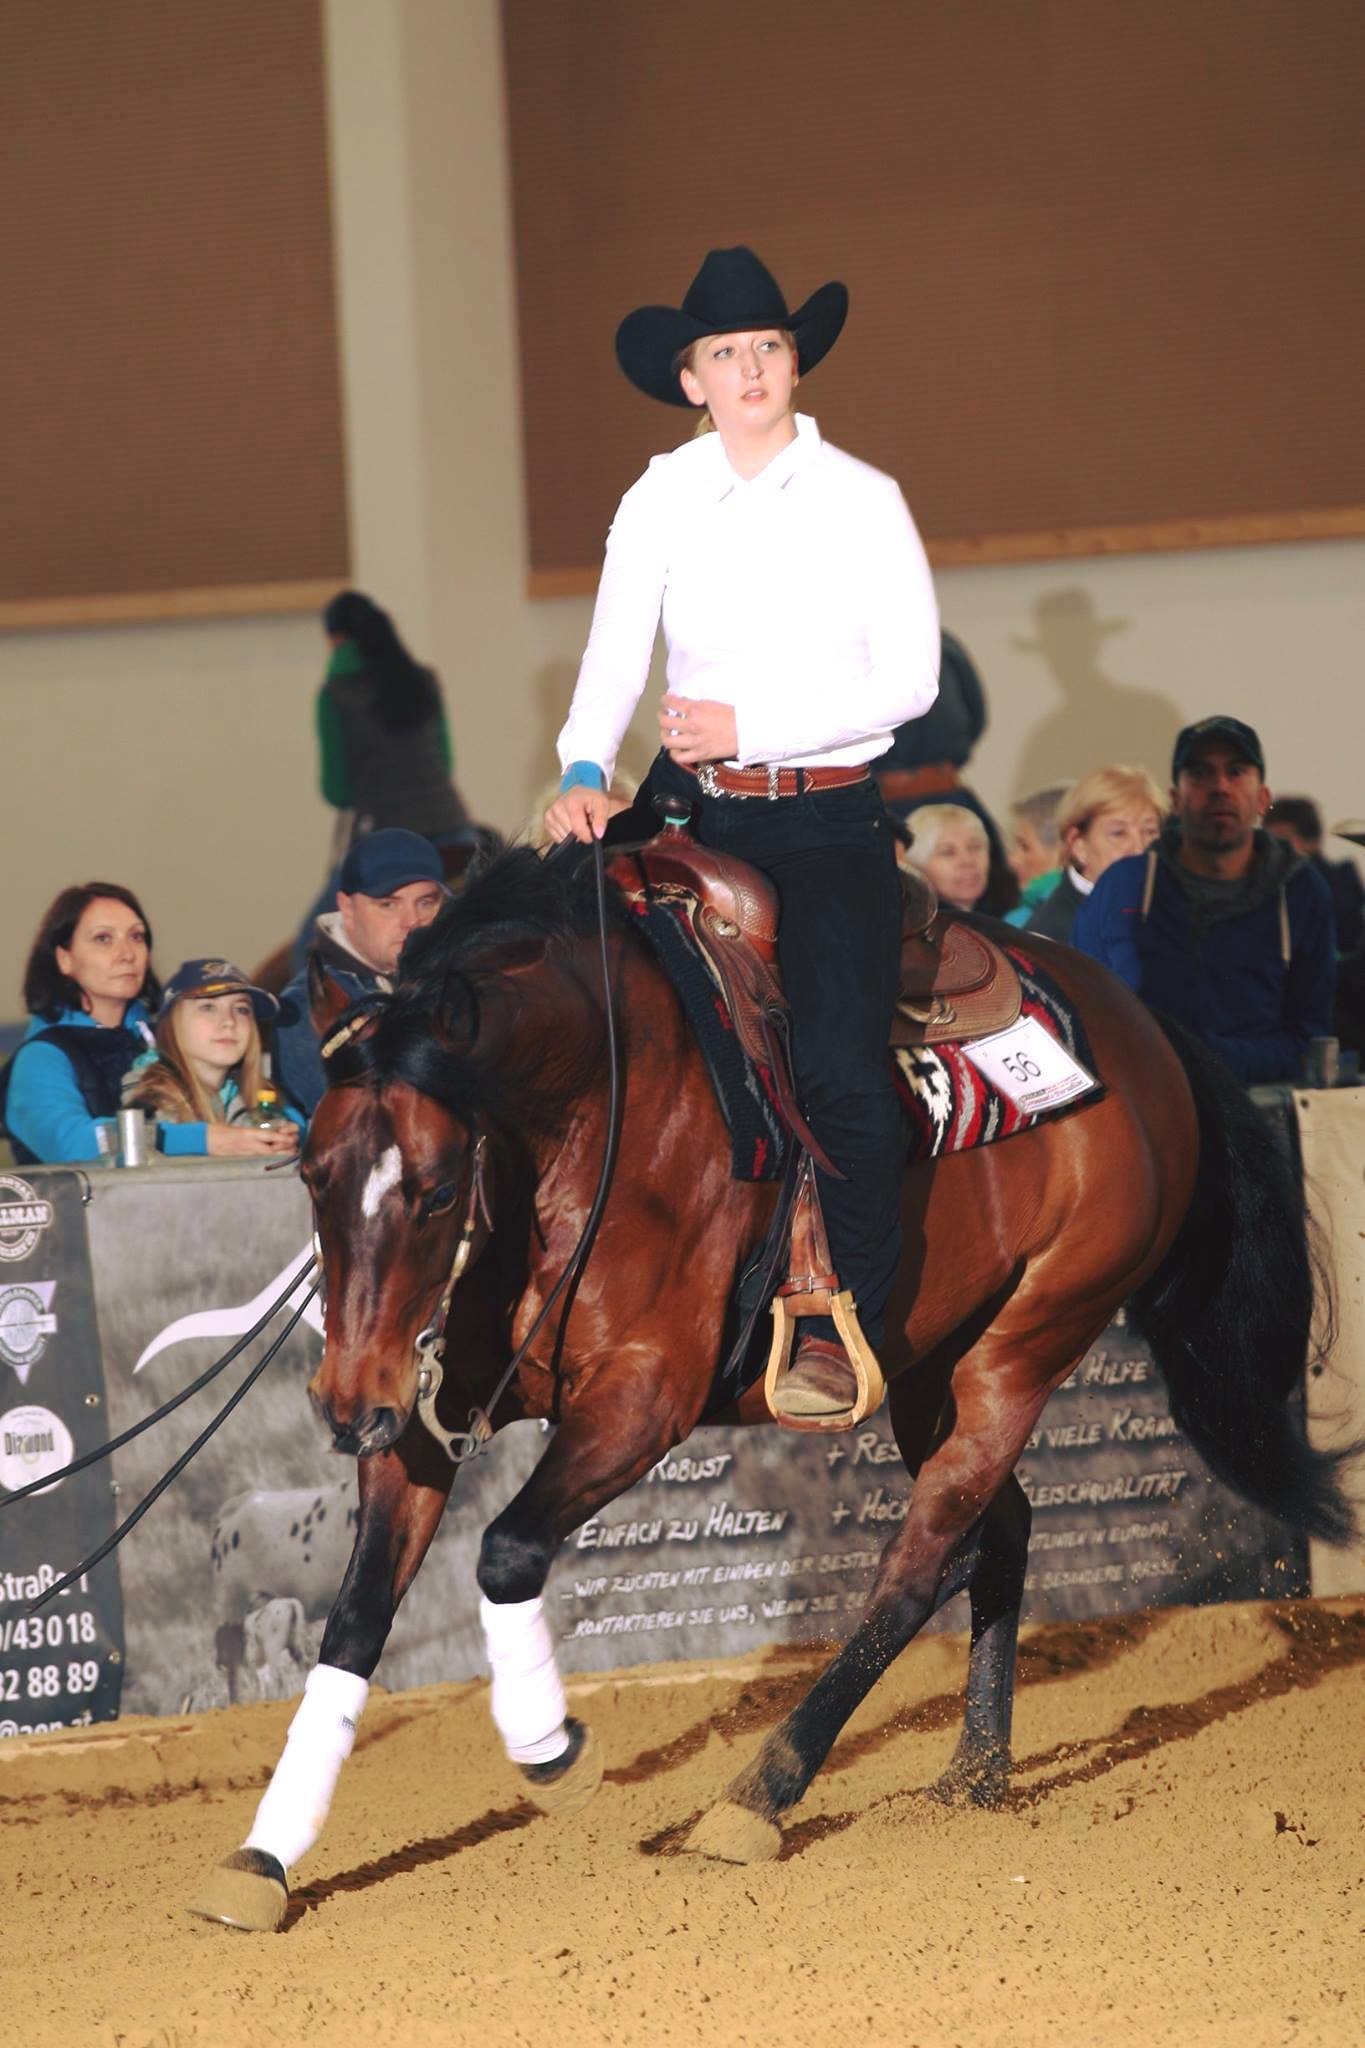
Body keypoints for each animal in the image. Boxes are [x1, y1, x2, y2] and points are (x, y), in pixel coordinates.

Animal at [191, 841, 1353, 1929]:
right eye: (312, 1173)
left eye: (434, 1190)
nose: (349, 1408)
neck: (593, 1112)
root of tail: (1147, 1029)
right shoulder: (434, 1416)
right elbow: (354, 1618)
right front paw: (266, 1854)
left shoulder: (643, 1397)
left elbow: (508, 1549)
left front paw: (550, 1746)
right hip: (931, 1363)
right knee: (1000, 1531)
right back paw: (973, 1772)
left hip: (1024, 1344)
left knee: (922, 1557)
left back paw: (759, 1793)